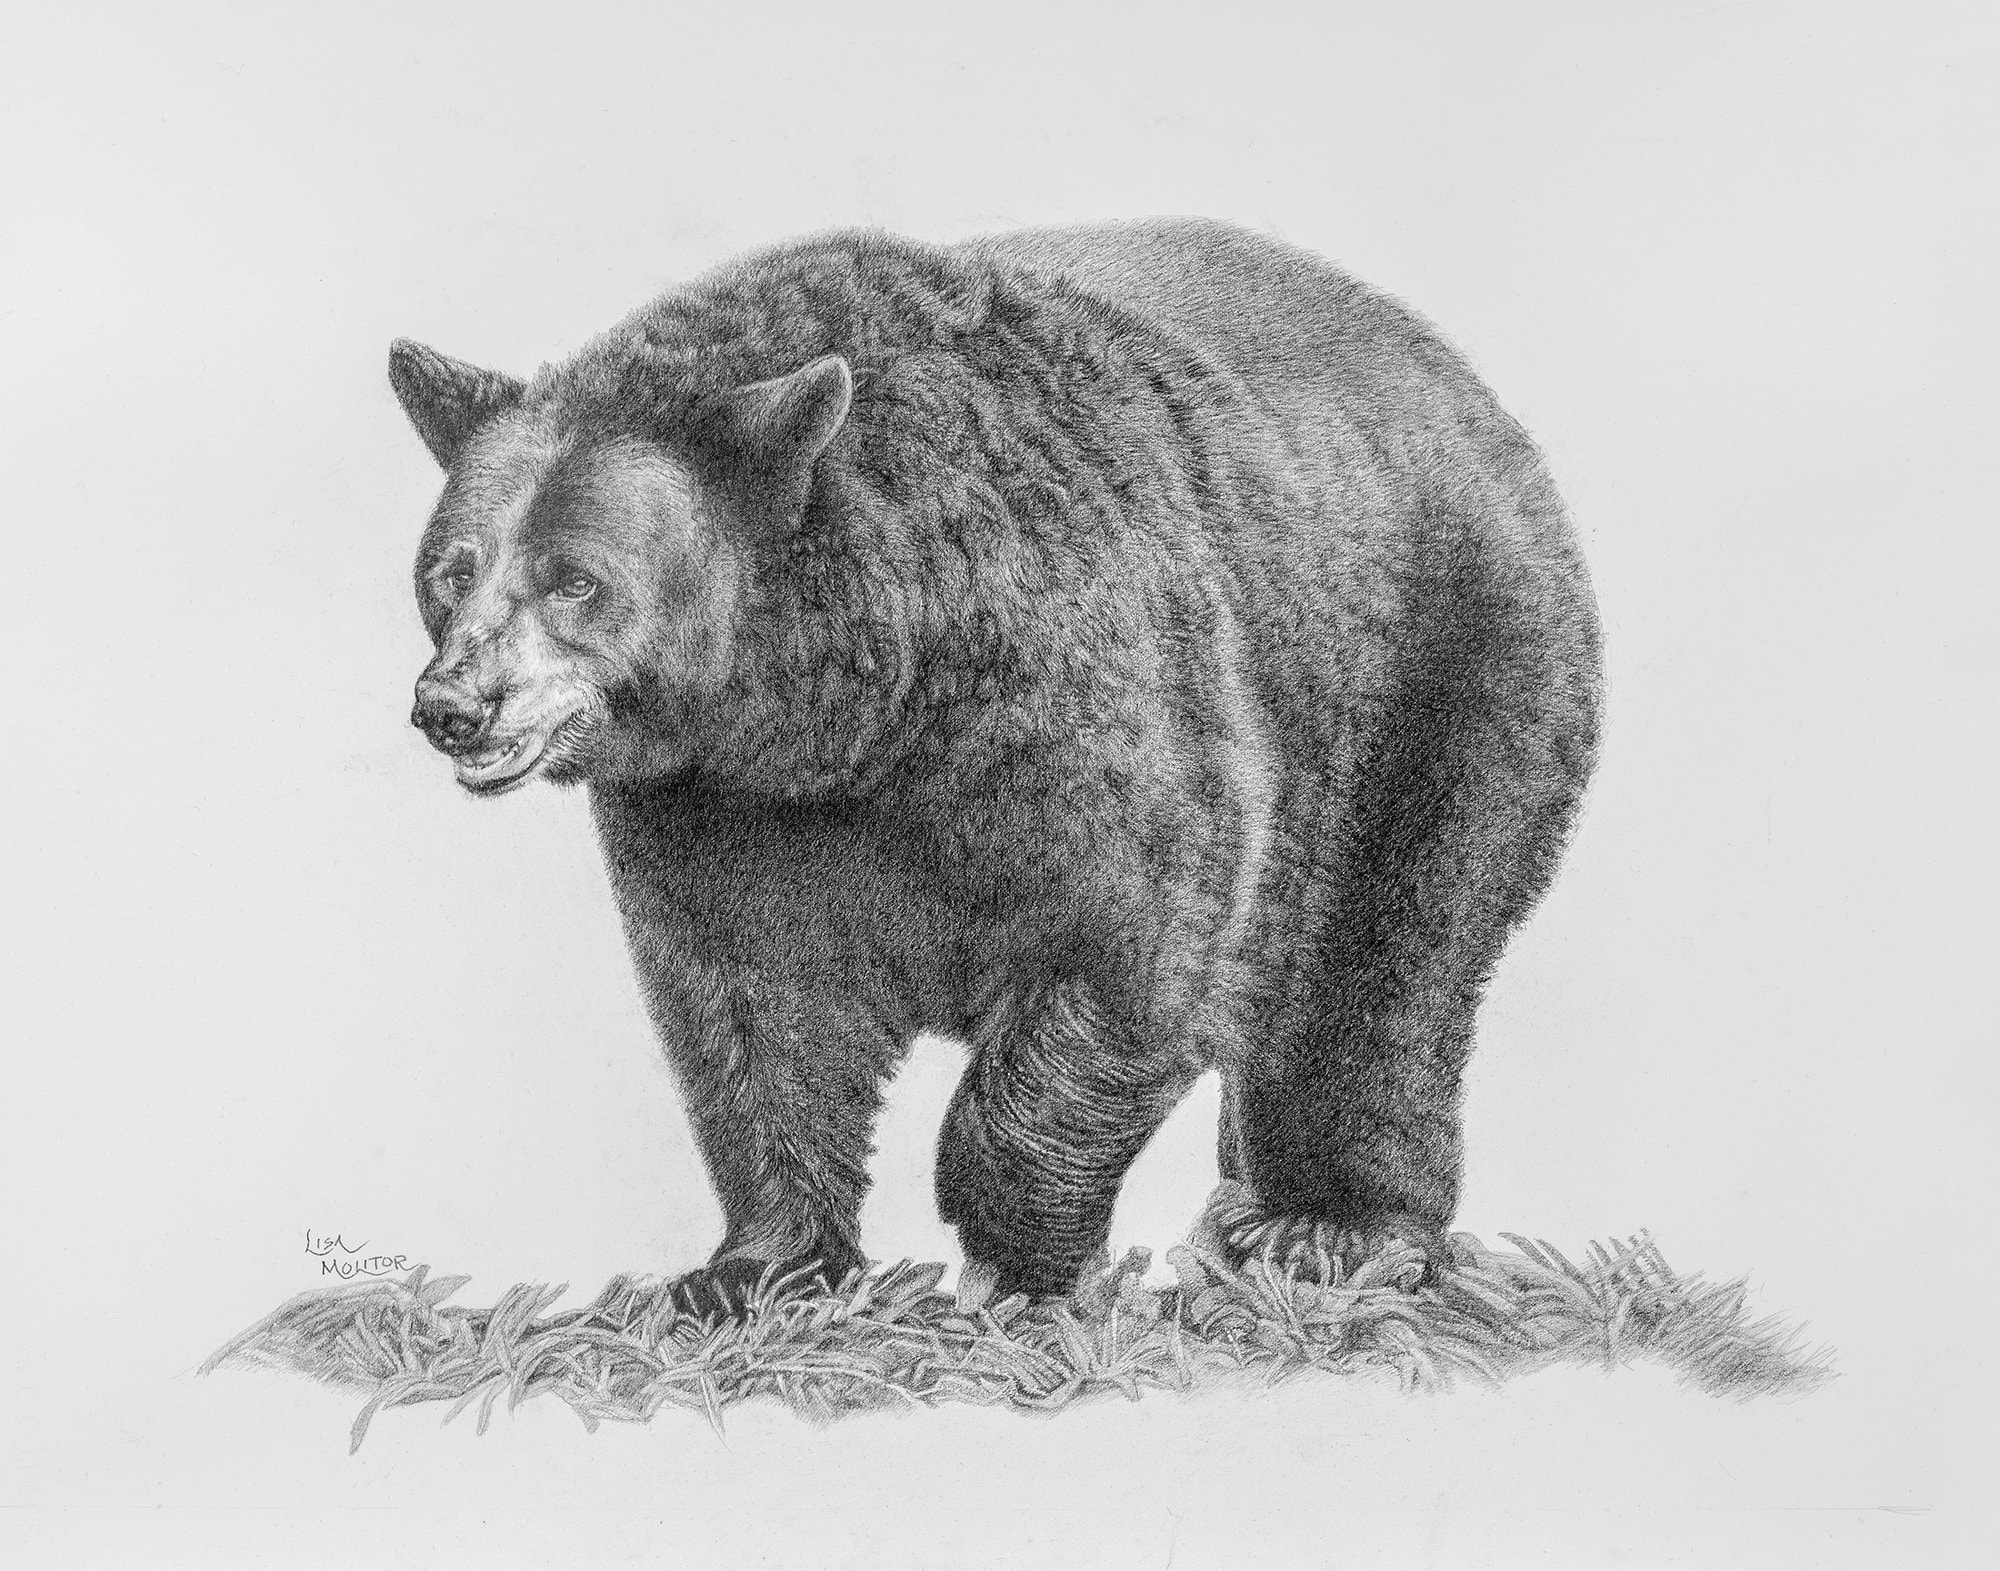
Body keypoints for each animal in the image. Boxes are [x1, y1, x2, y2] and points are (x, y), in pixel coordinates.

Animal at [391, 218, 1601, 1310]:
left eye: (575, 578)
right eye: (448, 568)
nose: (450, 706)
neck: (852, 707)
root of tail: (1456, 378)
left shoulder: (1083, 693)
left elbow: (1134, 936)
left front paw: (1017, 1269)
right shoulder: (720, 809)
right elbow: (752, 1009)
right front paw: (756, 1266)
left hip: (1449, 667)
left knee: (1389, 957)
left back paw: (1330, 1229)